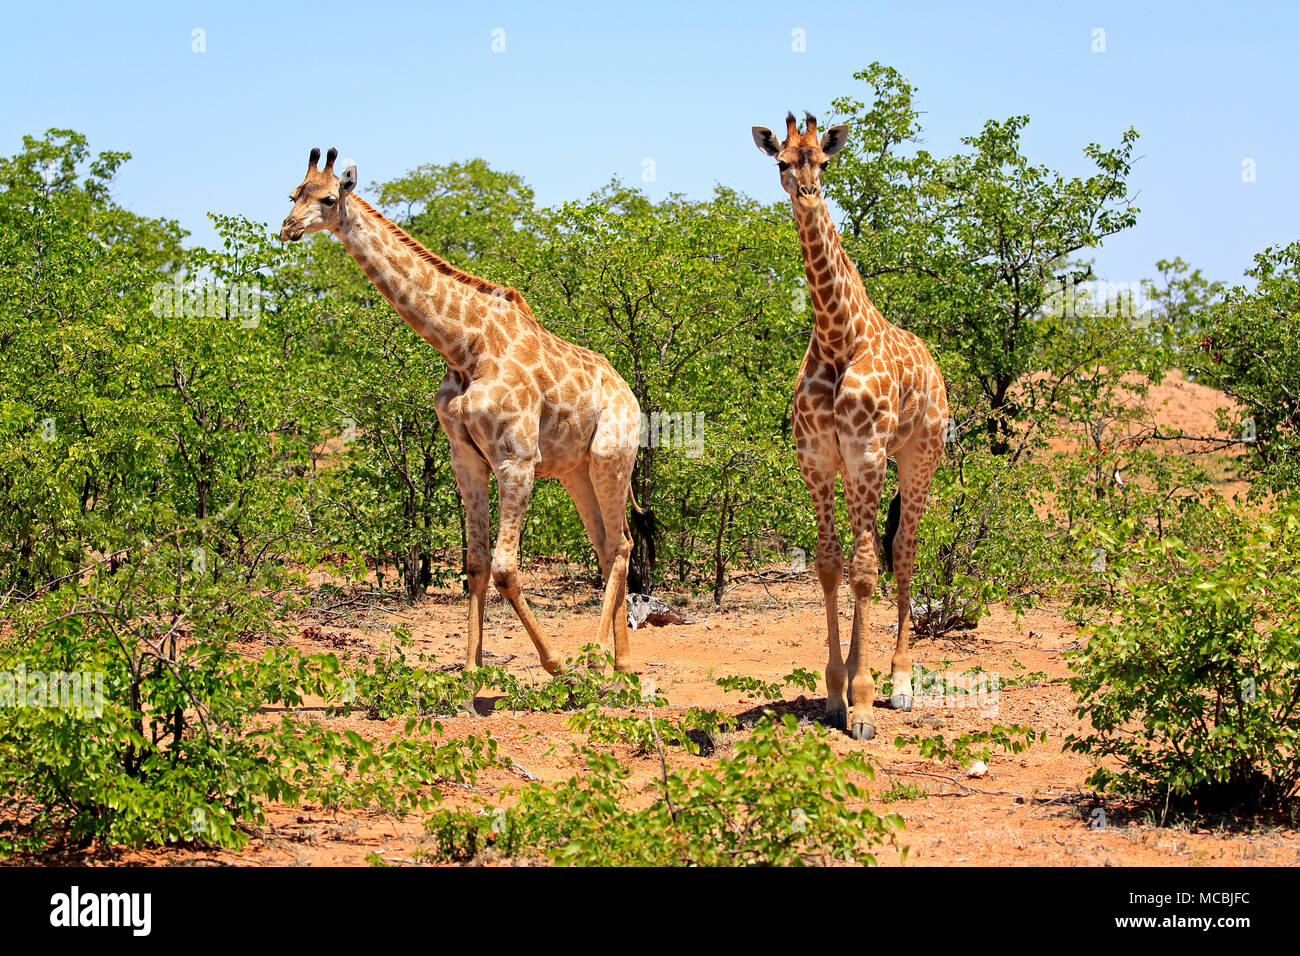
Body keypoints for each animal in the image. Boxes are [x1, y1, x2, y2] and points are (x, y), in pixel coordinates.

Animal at [280, 148, 641, 676]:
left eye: (328, 198)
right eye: (293, 193)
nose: (287, 228)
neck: (464, 346)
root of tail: (629, 394)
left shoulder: (516, 459)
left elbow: (505, 568)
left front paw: (554, 663)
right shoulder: (466, 458)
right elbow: (474, 564)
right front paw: (471, 670)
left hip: (610, 458)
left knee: (620, 546)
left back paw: (596, 657)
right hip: (574, 470)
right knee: (610, 544)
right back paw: (620, 662)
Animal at [753, 113, 949, 740]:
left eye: (823, 159)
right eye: (781, 160)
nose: (806, 190)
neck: (839, 336)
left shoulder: (866, 453)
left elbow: (866, 570)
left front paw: (862, 705)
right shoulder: (817, 457)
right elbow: (829, 565)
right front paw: (835, 696)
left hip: (918, 457)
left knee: (904, 552)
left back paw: (902, 684)